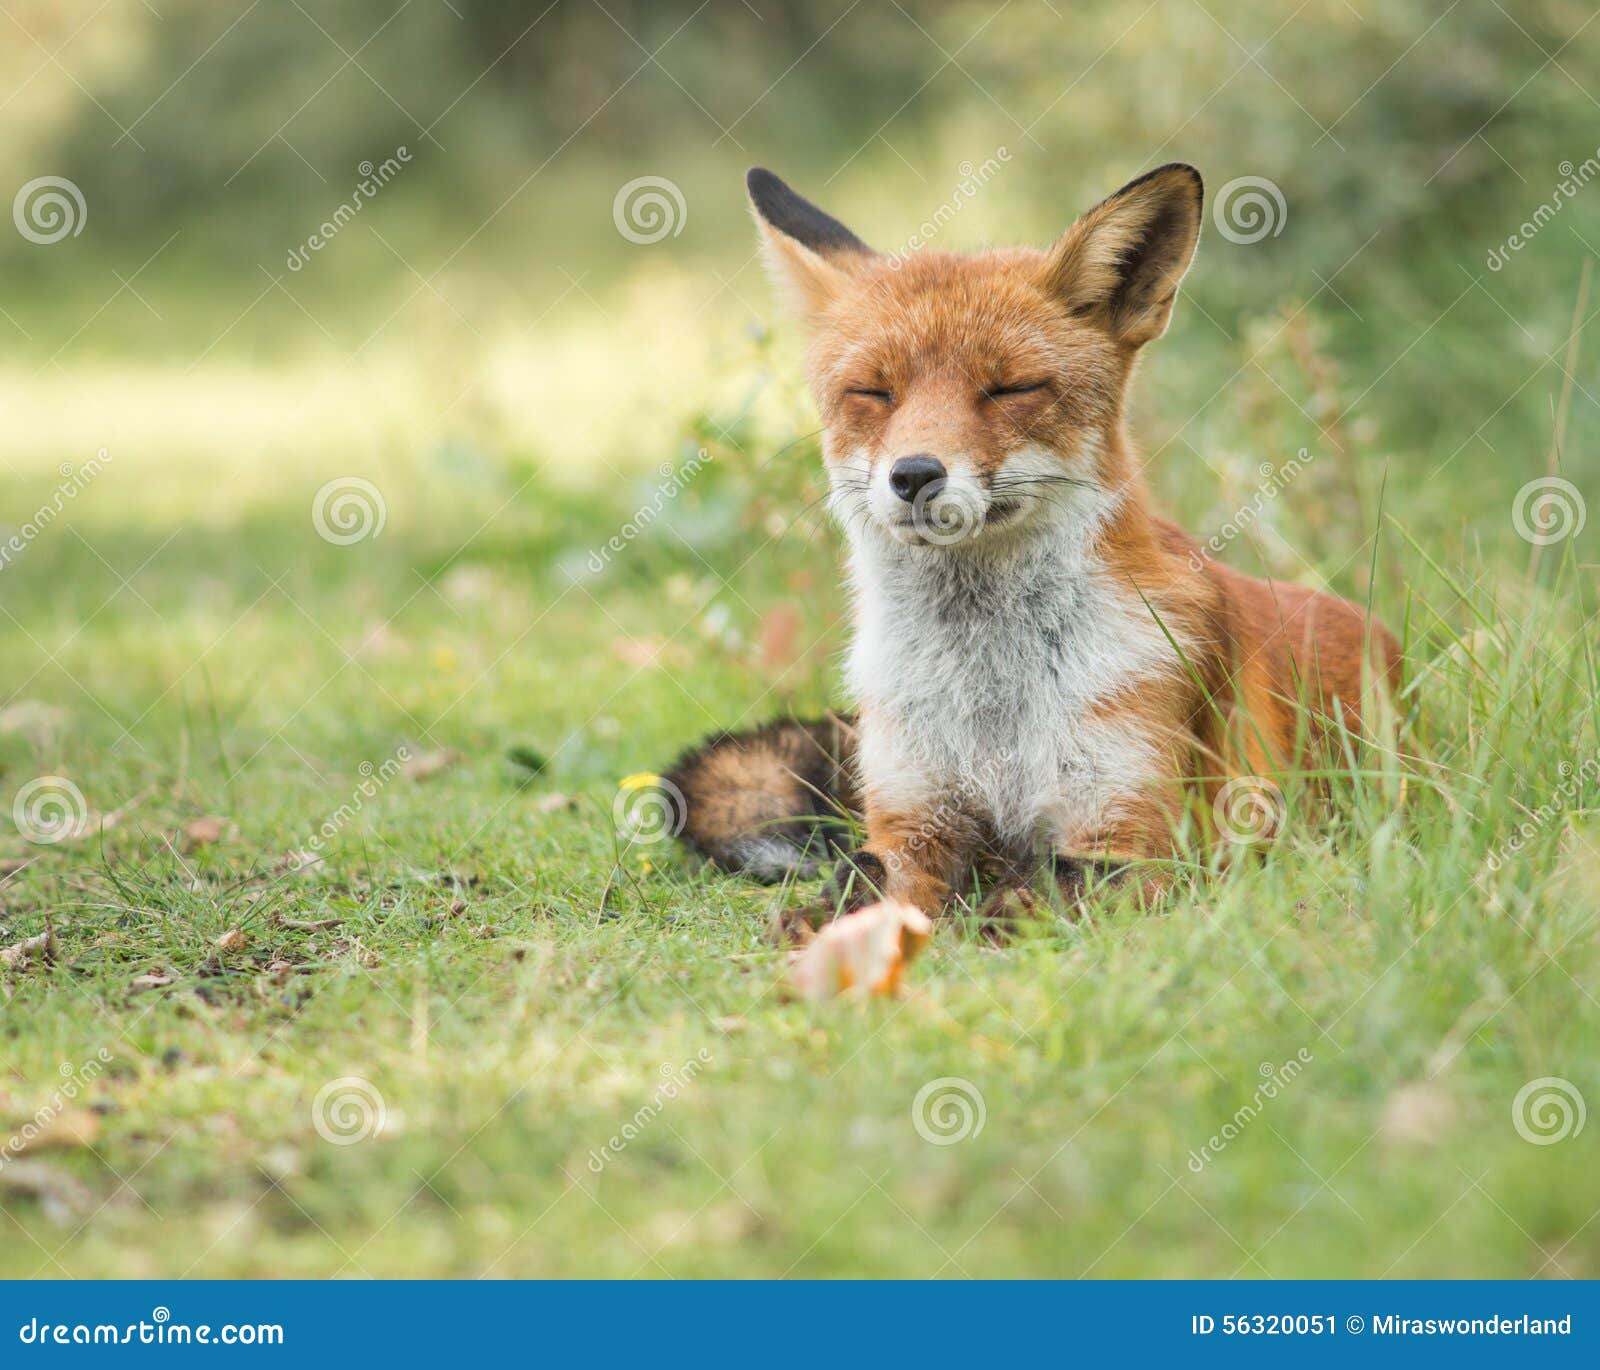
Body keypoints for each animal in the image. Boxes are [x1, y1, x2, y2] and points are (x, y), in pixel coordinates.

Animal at [664, 163, 1401, 925]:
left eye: (1009, 388)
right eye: (872, 392)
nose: (915, 474)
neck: (989, 693)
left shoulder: (1143, 843)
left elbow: (1019, 901)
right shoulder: (910, 816)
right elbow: (859, 885)